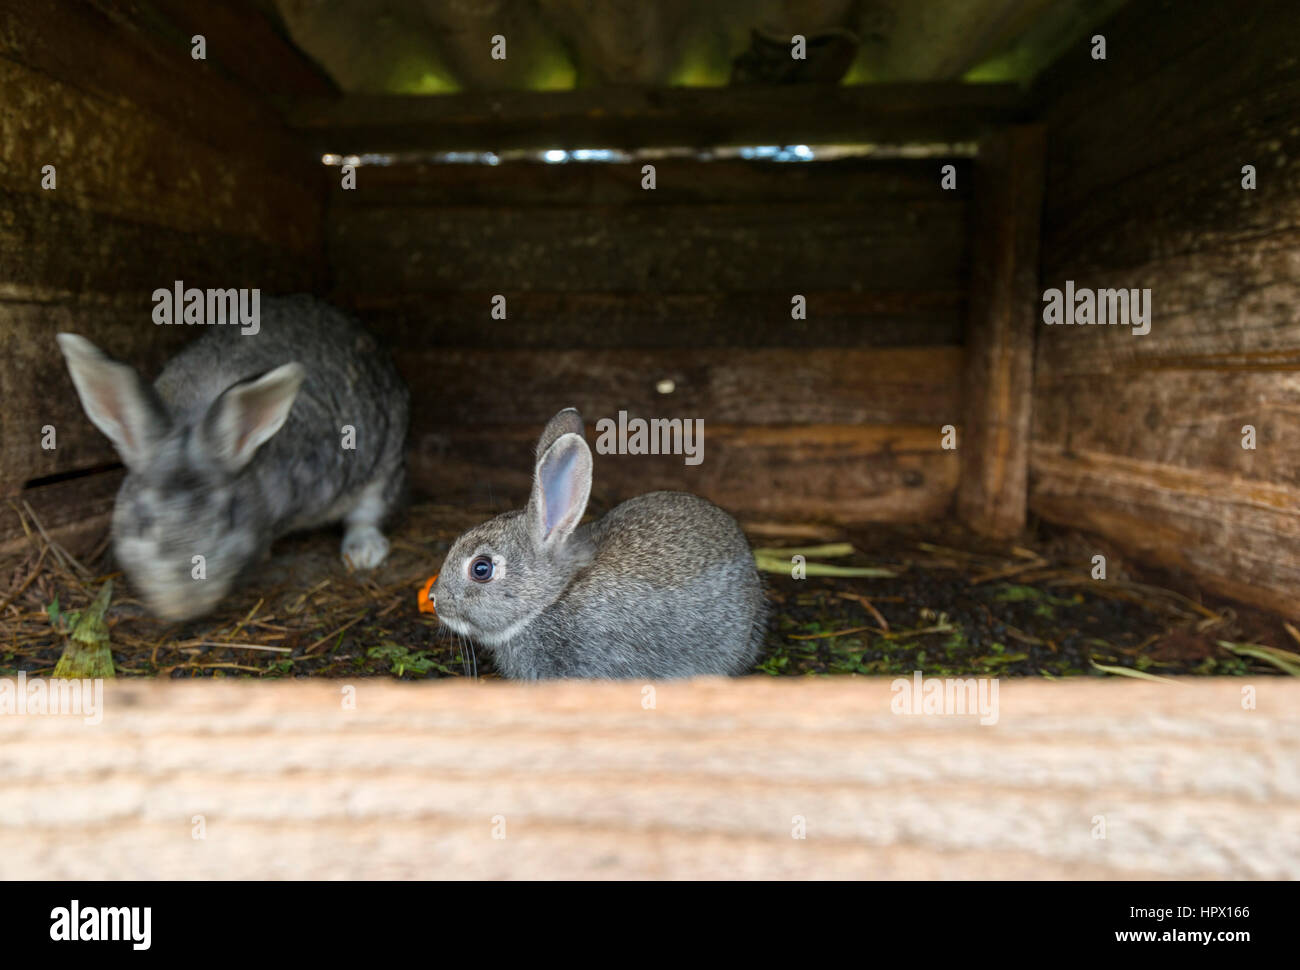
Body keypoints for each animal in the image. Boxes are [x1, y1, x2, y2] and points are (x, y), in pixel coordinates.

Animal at [56, 295, 409, 622]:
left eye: (228, 518)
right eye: (143, 521)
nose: (183, 604)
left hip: (389, 452)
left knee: (368, 509)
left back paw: (364, 552)